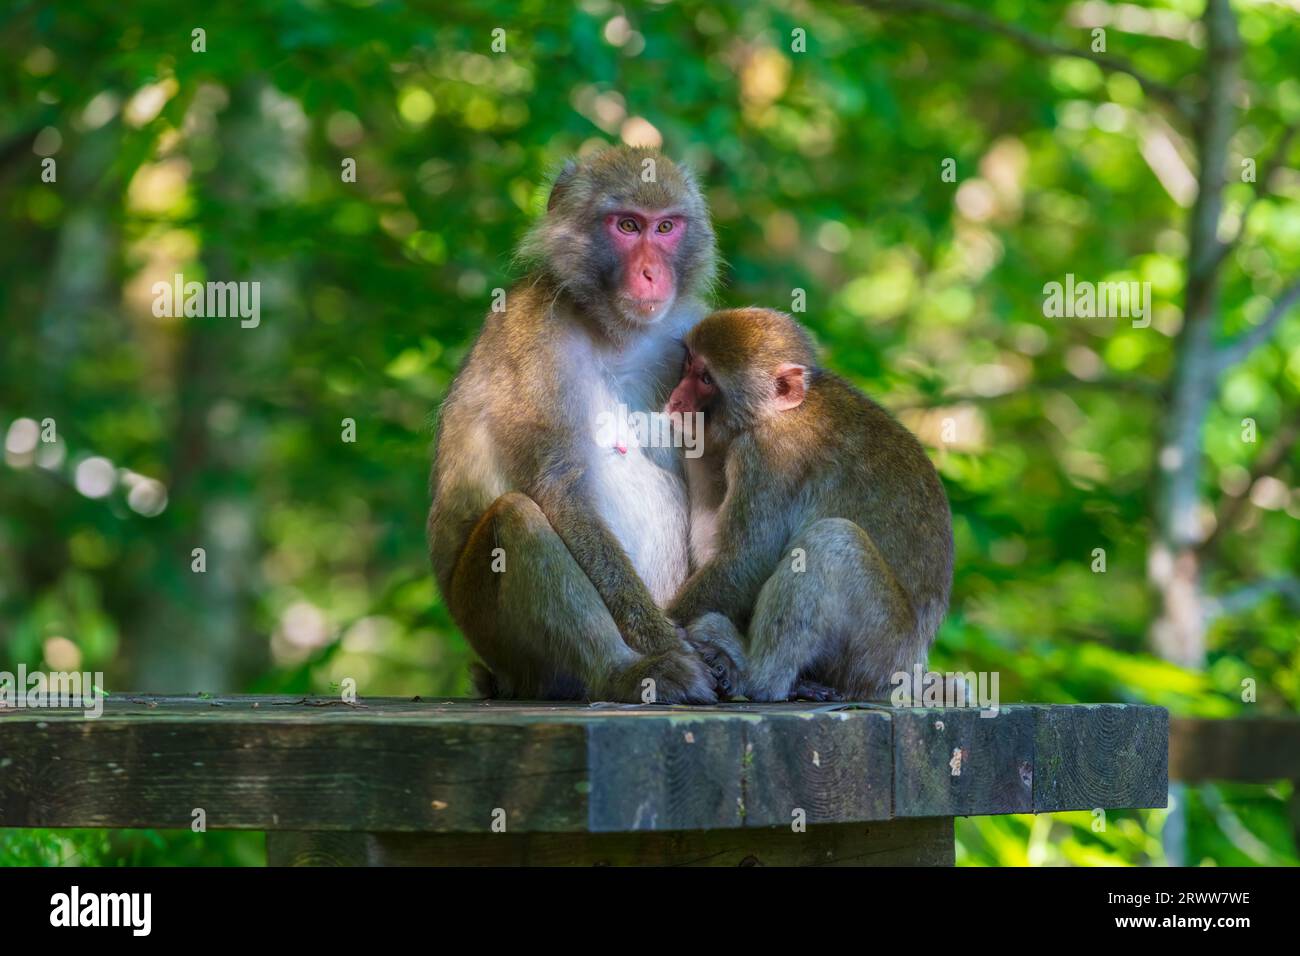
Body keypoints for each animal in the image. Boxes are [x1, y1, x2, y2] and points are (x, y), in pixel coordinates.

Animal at [428, 146, 720, 703]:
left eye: (665, 226)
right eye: (627, 225)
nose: (651, 273)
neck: (614, 331)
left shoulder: (686, 334)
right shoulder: (535, 335)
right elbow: (561, 489)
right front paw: (665, 643)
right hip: (493, 631)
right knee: (517, 519)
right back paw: (627, 673)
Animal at [664, 307, 954, 702]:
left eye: (706, 378)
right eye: (689, 364)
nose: (677, 400)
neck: (774, 414)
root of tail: (908, 668)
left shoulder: (768, 455)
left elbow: (746, 560)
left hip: (878, 647)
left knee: (832, 540)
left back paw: (756, 677)